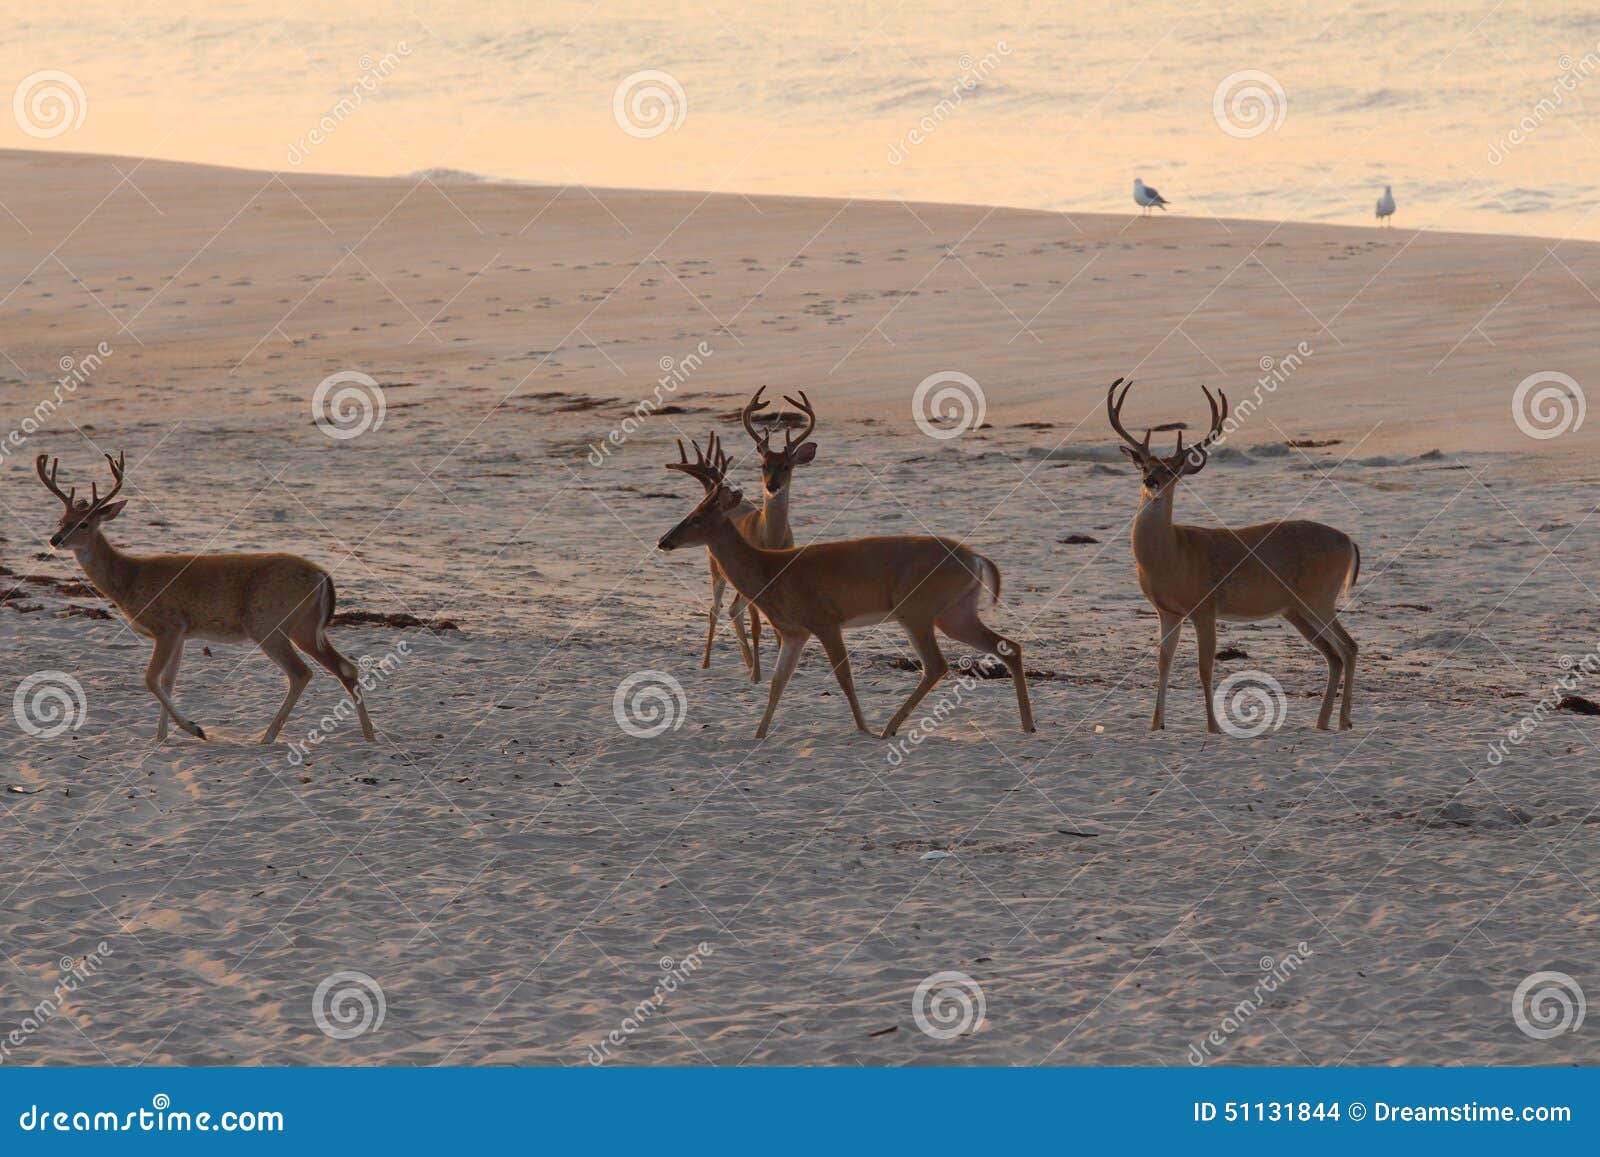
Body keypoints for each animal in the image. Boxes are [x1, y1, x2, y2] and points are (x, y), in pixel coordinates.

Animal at [36, 451, 377, 745]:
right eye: (61, 519)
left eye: (84, 523)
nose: (55, 539)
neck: (129, 580)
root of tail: (323, 575)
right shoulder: (183, 632)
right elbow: (168, 681)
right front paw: (161, 738)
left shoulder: (169, 624)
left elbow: (150, 679)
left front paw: (195, 729)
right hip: (304, 626)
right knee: (347, 668)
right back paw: (368, 736)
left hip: (268, 623)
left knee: (301, 672)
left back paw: (267, 738)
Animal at [657, 437, 1034, 739]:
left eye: (695, 517)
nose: (664, 540)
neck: (770, 571)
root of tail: (978, 558)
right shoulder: (794, 632)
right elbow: (778, 683)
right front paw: (758, 735)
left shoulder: (825, 620)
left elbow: (844, 678)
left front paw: (862, 728)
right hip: (955, 611)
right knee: (1008, 646)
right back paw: (1027, 725)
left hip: (917, 609)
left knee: (937, 664)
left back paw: (887, 728)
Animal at [1106, 378, 1361, 732]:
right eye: (1144, 465)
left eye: (1172, 470)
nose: (1151, 480)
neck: (1171, 555)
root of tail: (1349, 541)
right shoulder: (1167, 611)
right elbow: (1163, 663)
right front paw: (1156, 725)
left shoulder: (1205, 605)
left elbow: (1204, 667)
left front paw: (1213, 727)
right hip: (1295, 608)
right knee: (1333, 654)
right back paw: (1322, 722)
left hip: (1319, 596)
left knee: (1349, 647)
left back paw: (1344, 721)